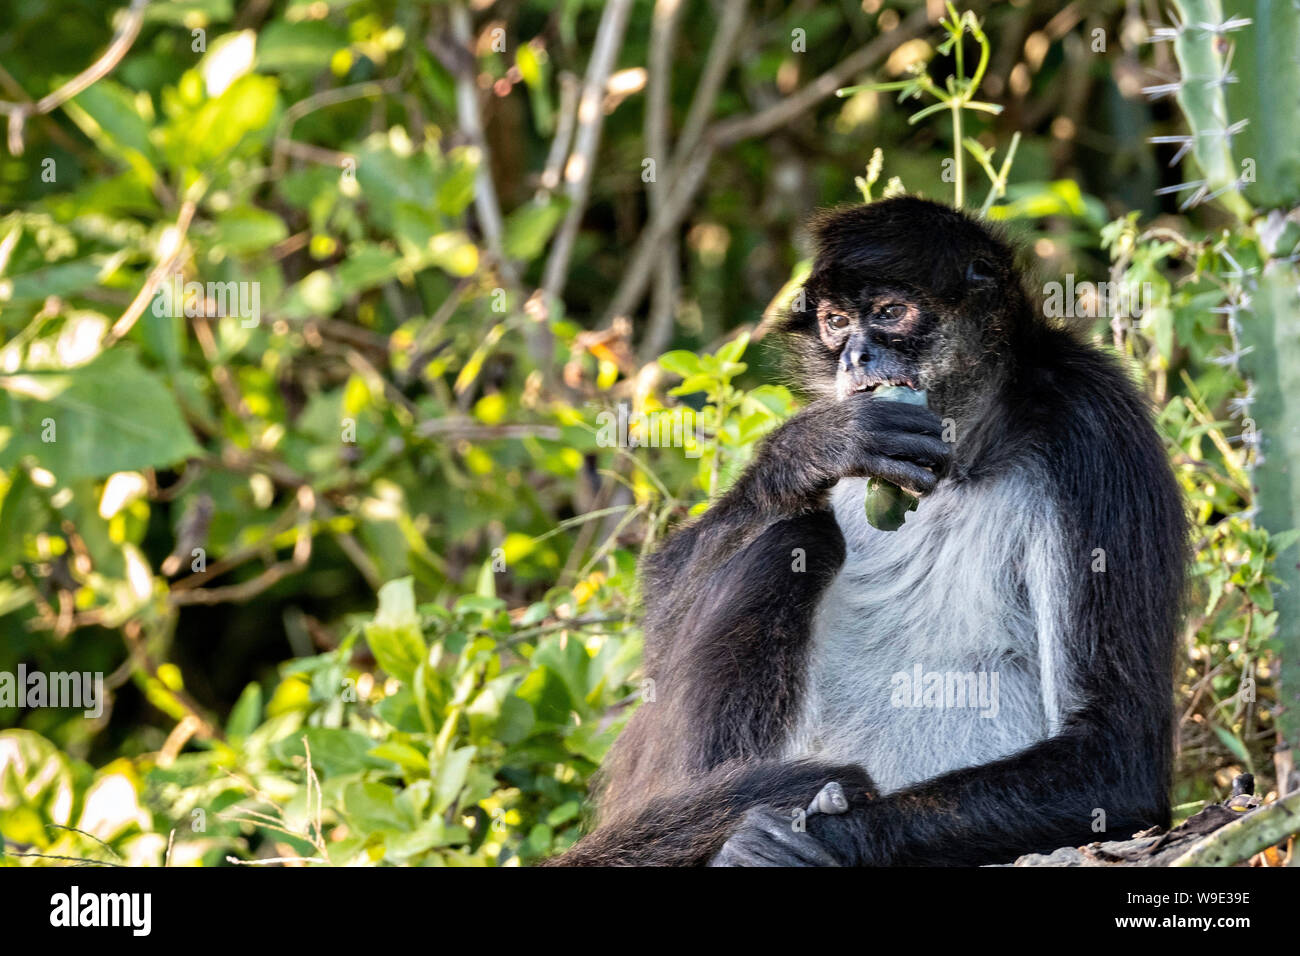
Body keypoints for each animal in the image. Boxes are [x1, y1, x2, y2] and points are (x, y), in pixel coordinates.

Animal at [548, 196, 1187, 866]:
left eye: (889, 313)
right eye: (836, 323)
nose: (855, 357)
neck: (963, 461)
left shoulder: (1094, 421)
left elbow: (1116, 759)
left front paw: (792, 843)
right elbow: (660, 607)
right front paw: (812, 448)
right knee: (792, 538)